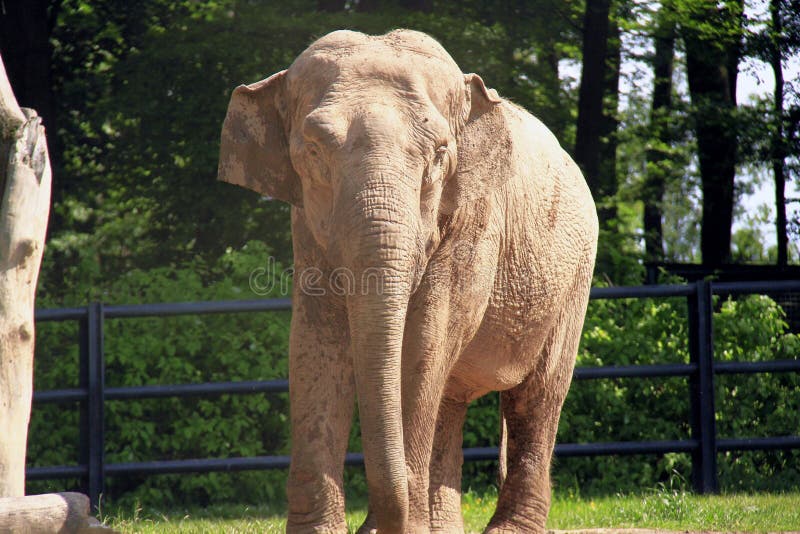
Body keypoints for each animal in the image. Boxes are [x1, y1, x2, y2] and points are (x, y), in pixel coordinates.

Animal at [218, 29, 598, 534]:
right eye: (313, 151)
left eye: (439, 155)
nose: (372, 524)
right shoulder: (307, 228)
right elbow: (314, 344)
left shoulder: (471, 221)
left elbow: (424, 344)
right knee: (452, 402)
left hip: (573, 279)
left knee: (537, 396)